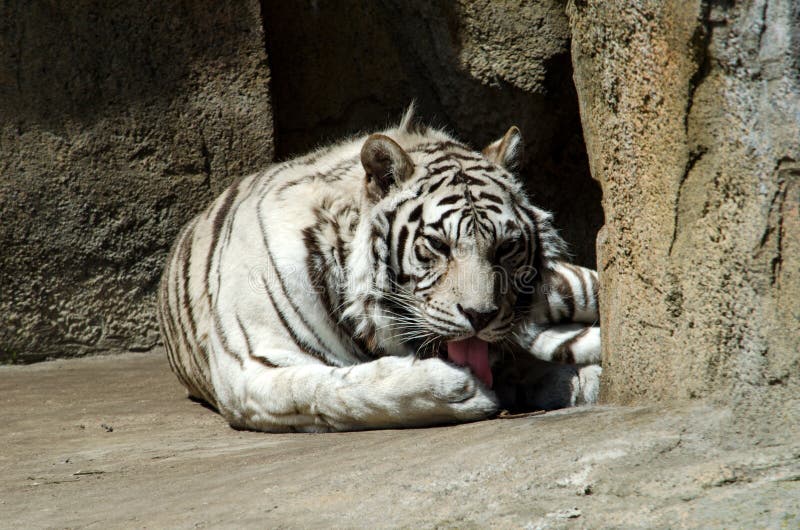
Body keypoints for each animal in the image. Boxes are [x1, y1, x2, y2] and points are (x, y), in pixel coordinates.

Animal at [157, 106, 602, 432]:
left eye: (506, 247)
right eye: (437, 245)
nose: (481, 316)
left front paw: (576, 380)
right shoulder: (252, 369)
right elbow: (332, 389)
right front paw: (451, 388)